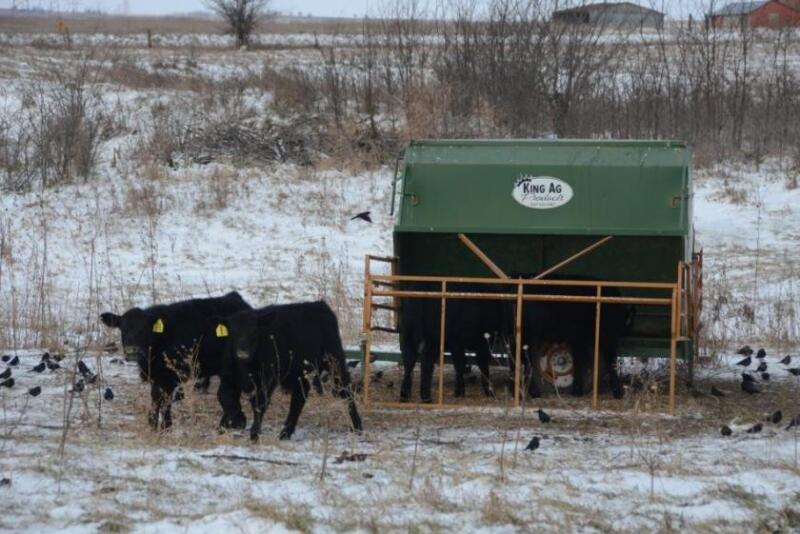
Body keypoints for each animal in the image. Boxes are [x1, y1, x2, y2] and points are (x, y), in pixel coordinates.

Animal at [100, 291, 252, 430]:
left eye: (144, 329)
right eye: (123, 329)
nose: (132, 351)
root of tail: (234, 297)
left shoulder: (170, 376)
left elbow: (165, 399)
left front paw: (166, 425)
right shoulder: (157, 376)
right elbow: (156, 397)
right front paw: (154, 424)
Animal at [213, 301, 362, 442]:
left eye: (254, 331)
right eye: (233, 332)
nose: (242, 351)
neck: (245, 365)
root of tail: (319, 304)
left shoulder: (268, 379)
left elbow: (259, 402)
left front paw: (254, 433)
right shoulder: (229, 376)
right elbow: (224, 396)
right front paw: (231, 421)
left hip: (334, 359)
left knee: (345, 390)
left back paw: (357, 427)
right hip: (298, 371)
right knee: (300, 395)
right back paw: (286, 432)